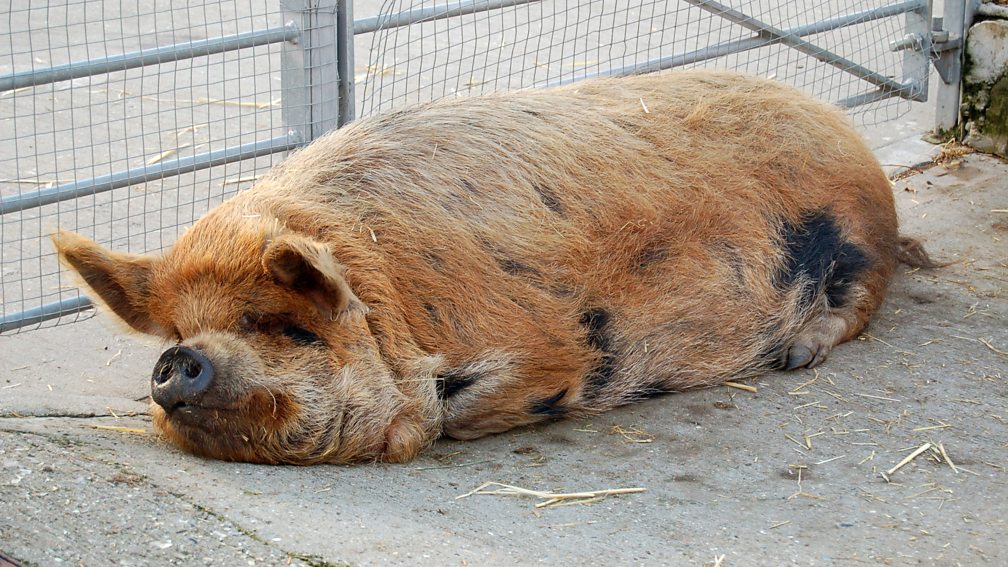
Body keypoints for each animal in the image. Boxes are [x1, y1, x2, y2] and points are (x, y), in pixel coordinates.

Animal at [53, 70, 933, 465]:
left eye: (276, 322)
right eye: (174, 325)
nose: (179, 359)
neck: (391, 288)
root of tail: (844, 129)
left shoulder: (547, 344)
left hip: (857, 228)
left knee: (863, 299)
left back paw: (796, 353)